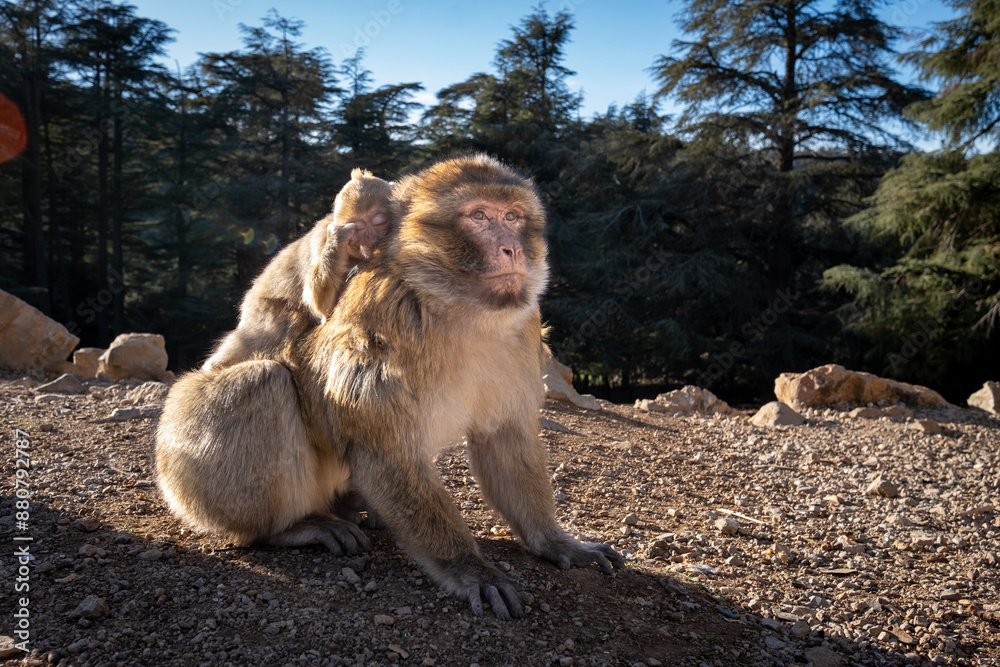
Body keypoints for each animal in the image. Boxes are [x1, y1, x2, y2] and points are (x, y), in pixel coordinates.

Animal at [203, 168, 393, 371]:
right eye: (359, 227)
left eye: (378, 221)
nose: (370, 240)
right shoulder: (321, 240)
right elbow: (322, 307)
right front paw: (338, 240)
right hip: (260, 310)